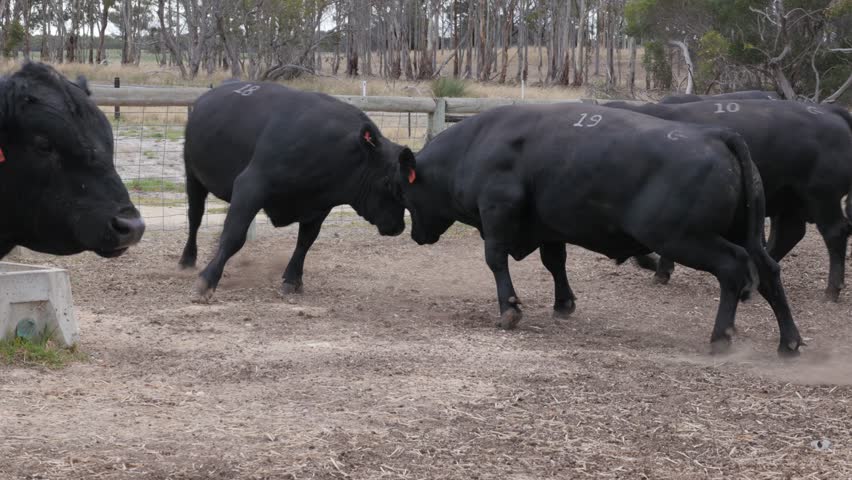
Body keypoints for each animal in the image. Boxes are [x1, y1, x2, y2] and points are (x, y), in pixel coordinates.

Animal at [181, 81, 408, 301]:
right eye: (388, 183)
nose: (398, 227)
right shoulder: (250, 185)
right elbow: (234, 236)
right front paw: (207, 280)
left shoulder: (319, 206)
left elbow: (305, 242)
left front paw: (292, 279)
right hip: (192, 175)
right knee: (195, 217)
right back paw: (187, 259)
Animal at [395, 103, 804, 355]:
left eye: (406, 191)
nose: (414, 234)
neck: (476, 143)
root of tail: (717, 134)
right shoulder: (549, 227)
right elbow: (555, 262)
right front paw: (563, 304)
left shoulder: (498, 213)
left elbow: (496, 260)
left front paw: (509, 310)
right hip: (743, 236)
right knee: (769, 272)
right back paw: (789, 342)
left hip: (684, 237)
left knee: (733, 268)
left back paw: (721, 336)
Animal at [606, 100, 852, 301]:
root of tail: (830, 111)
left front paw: (655, 266)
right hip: (790, 200)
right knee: (788, 234)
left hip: (821, 197)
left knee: (834, 233)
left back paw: (832, 290)